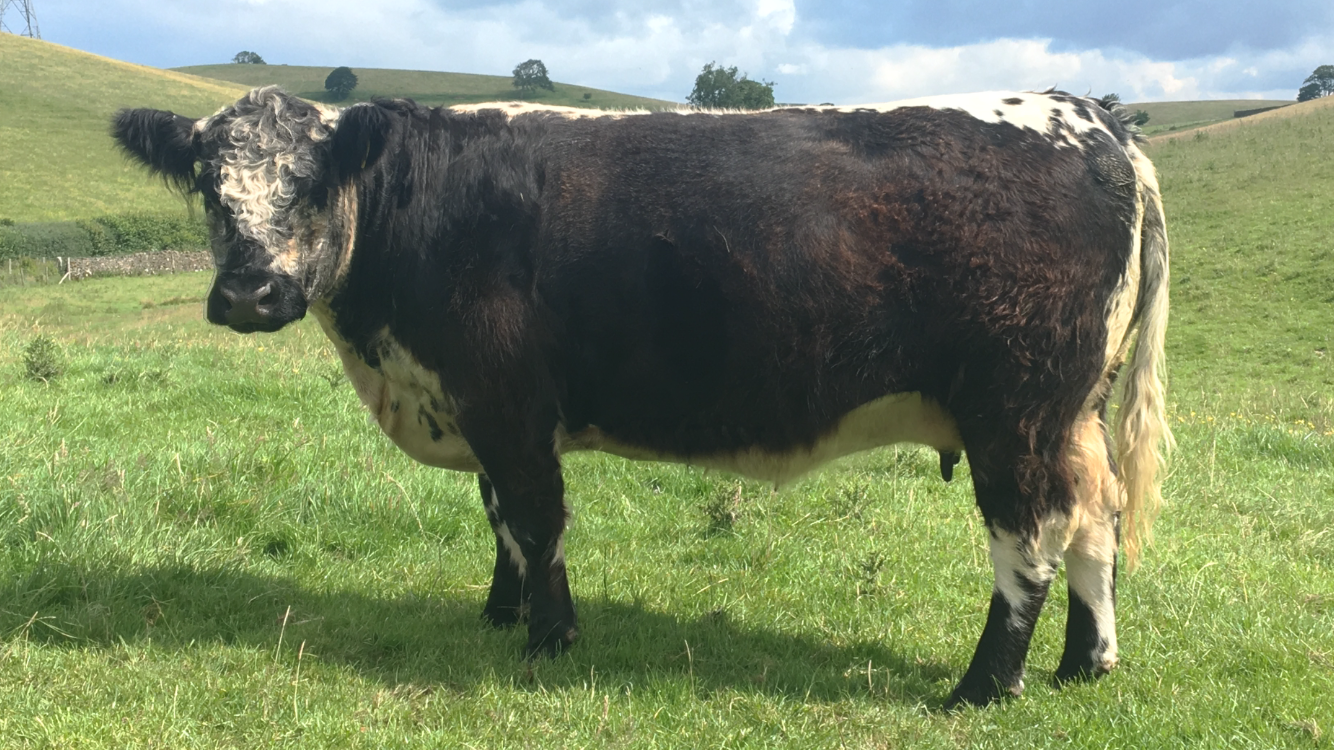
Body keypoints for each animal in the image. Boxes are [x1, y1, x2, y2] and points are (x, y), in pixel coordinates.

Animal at [112, 86, 1171, 708]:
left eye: (309, 180)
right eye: (207, 186)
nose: (249, 294)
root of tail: (1088, 116)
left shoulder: (506, 398)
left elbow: (534, 517)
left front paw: (548, 640)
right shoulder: (484, 405)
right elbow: (498, 515)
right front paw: (500, 614)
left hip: (1016, 413)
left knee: (1030, 540)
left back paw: (983, 688)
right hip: (1072, 414)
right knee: (1099, 519)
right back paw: (1086, 663)